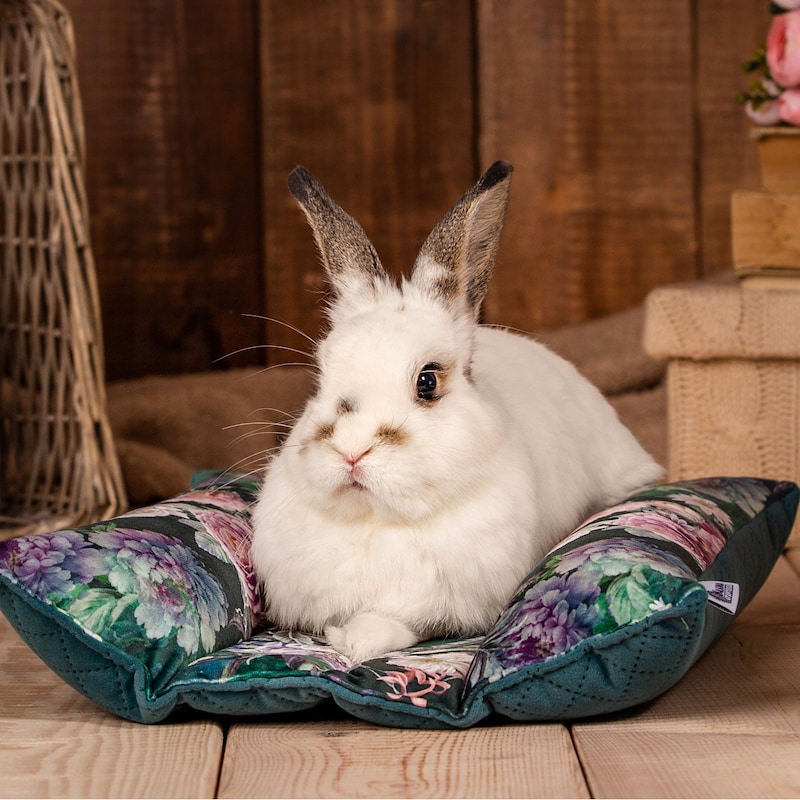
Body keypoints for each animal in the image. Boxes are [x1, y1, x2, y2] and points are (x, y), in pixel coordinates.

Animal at [250, 160, 664, 663]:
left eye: (427, 381)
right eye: (321, 377)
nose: (352, 451)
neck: (380, 519)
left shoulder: (447, 608)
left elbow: (399, 624)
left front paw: (355, 640)